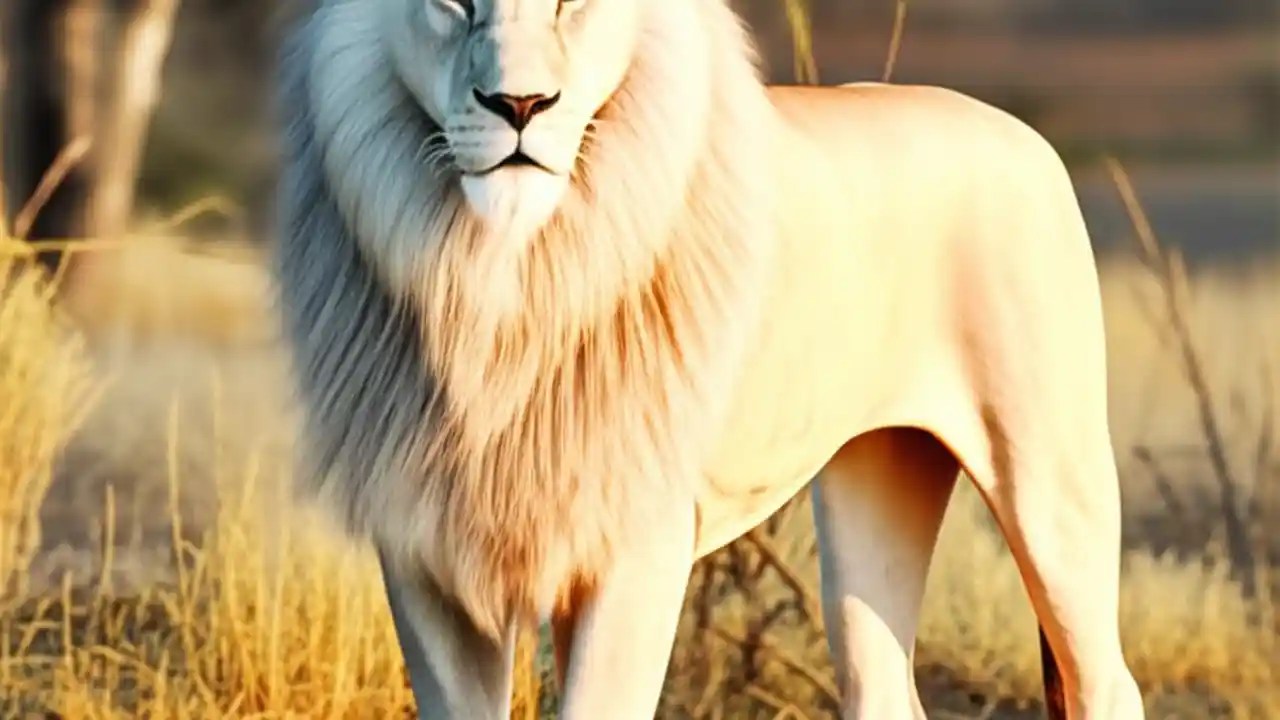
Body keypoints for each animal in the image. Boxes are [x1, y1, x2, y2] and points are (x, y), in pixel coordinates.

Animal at [272, 0, 1145, 717]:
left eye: (569, 2)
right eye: (454, 0)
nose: (518, 106)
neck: (506, 282)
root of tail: (1024, 135)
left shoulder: (635, 547)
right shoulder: (424, 554)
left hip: (1049, 486)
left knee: (1107, 680)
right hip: (876, 481)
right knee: (883, 684)